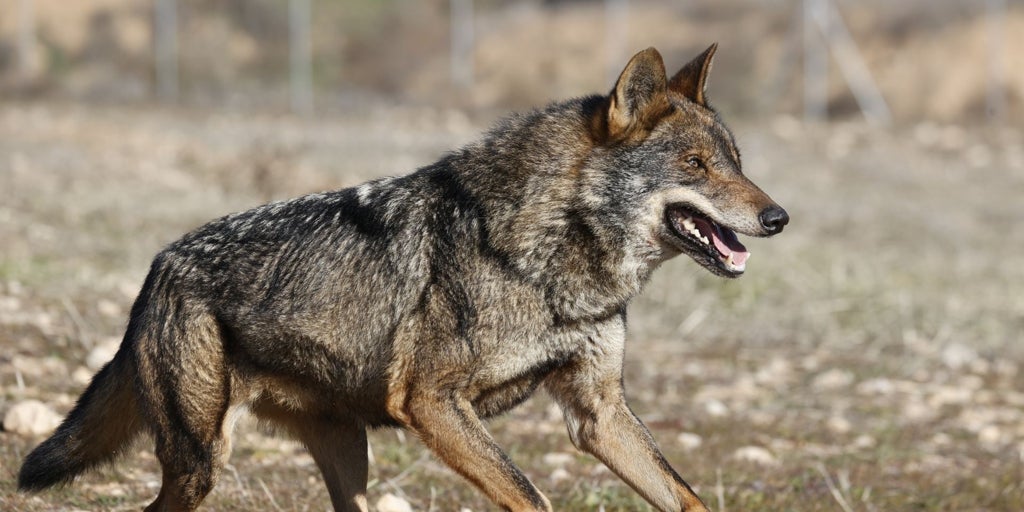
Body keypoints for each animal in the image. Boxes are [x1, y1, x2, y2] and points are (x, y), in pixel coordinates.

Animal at [19, 45, 787, 511]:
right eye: (694, 165)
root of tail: (159, 264)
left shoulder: (597, 411)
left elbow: (686, 495)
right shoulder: (433, 403)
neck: (555, 259)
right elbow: (534, 496)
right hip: (202, 462)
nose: (778, 217)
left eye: (736, 161)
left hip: (343, 458)